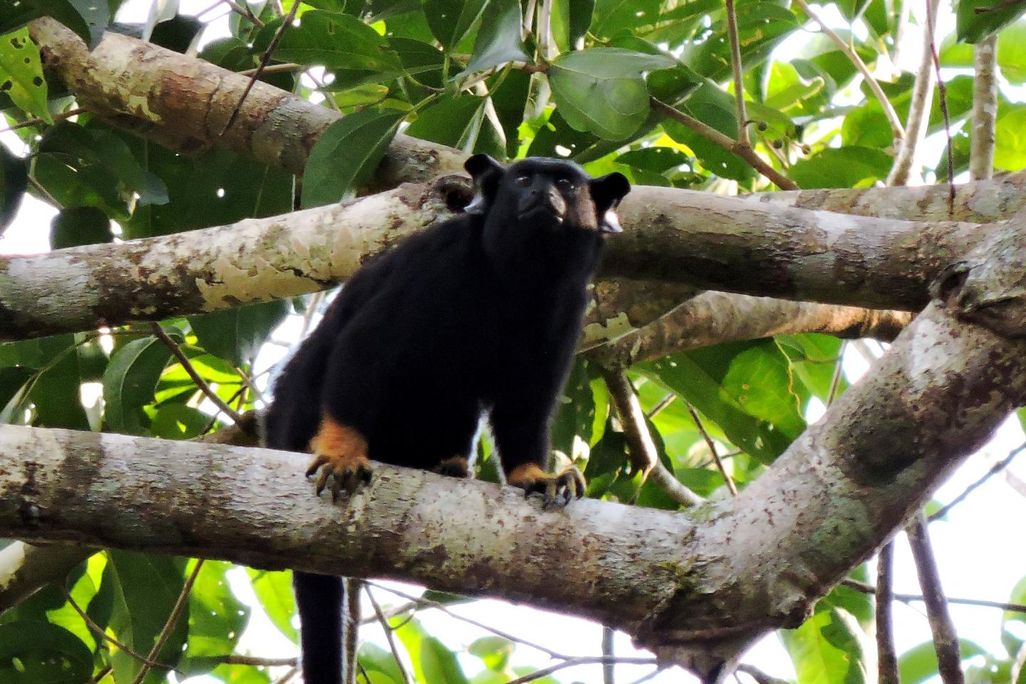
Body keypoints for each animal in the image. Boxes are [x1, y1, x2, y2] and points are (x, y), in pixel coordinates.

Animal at [263, 154, 630, 684]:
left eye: (565, 182)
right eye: (523, 177)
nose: (541, 193)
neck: (518, 281)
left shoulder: (570, 305)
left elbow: (527, 406)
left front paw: (534, 475)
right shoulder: (439, 262)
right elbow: (363, 347)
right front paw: (341, 453)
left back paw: (447, 466)